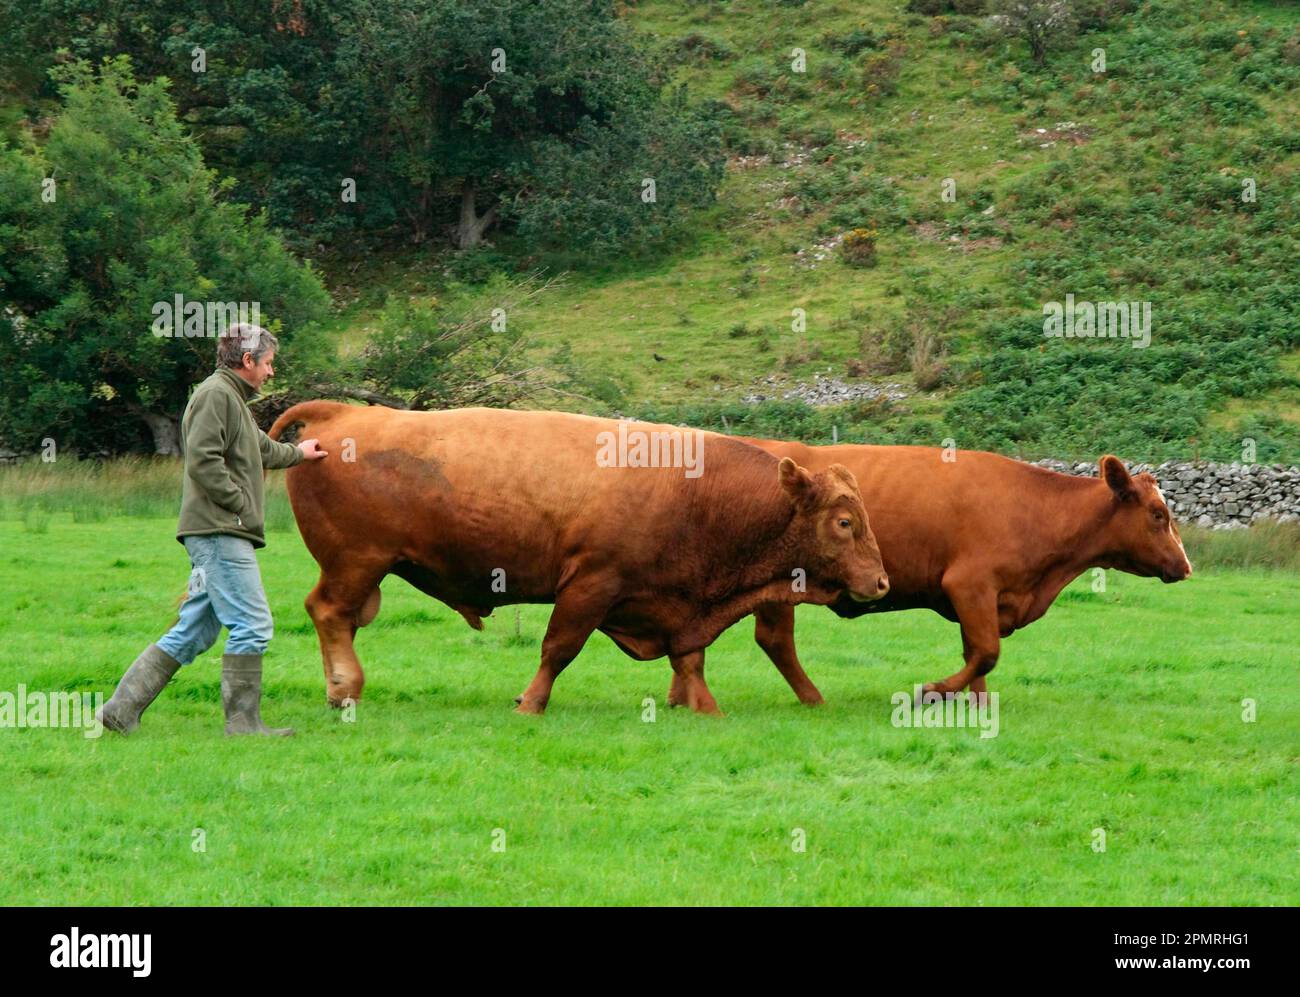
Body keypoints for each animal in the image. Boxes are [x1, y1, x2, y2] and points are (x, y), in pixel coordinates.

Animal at [267, 403, 890, 714]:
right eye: (844, 522)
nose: (882, 582)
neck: (699, 492)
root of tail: (343, 412)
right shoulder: (591, 586)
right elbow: (559, 648)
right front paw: (530, 703)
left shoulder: (679, 603)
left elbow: (688, 659)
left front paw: (705, 708)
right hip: (357, 563)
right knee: (329, 613)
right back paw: (344, 688)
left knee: (338, 617)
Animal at [665, 443, 1193, 708]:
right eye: (1158, 515)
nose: (1186, 566)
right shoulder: (969, 584)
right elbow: (986, 652)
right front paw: (932, 691)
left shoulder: (981, 599)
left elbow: (975, 654)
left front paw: (976, 704)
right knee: (775, 640)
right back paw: (812, 698)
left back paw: (678, 696)